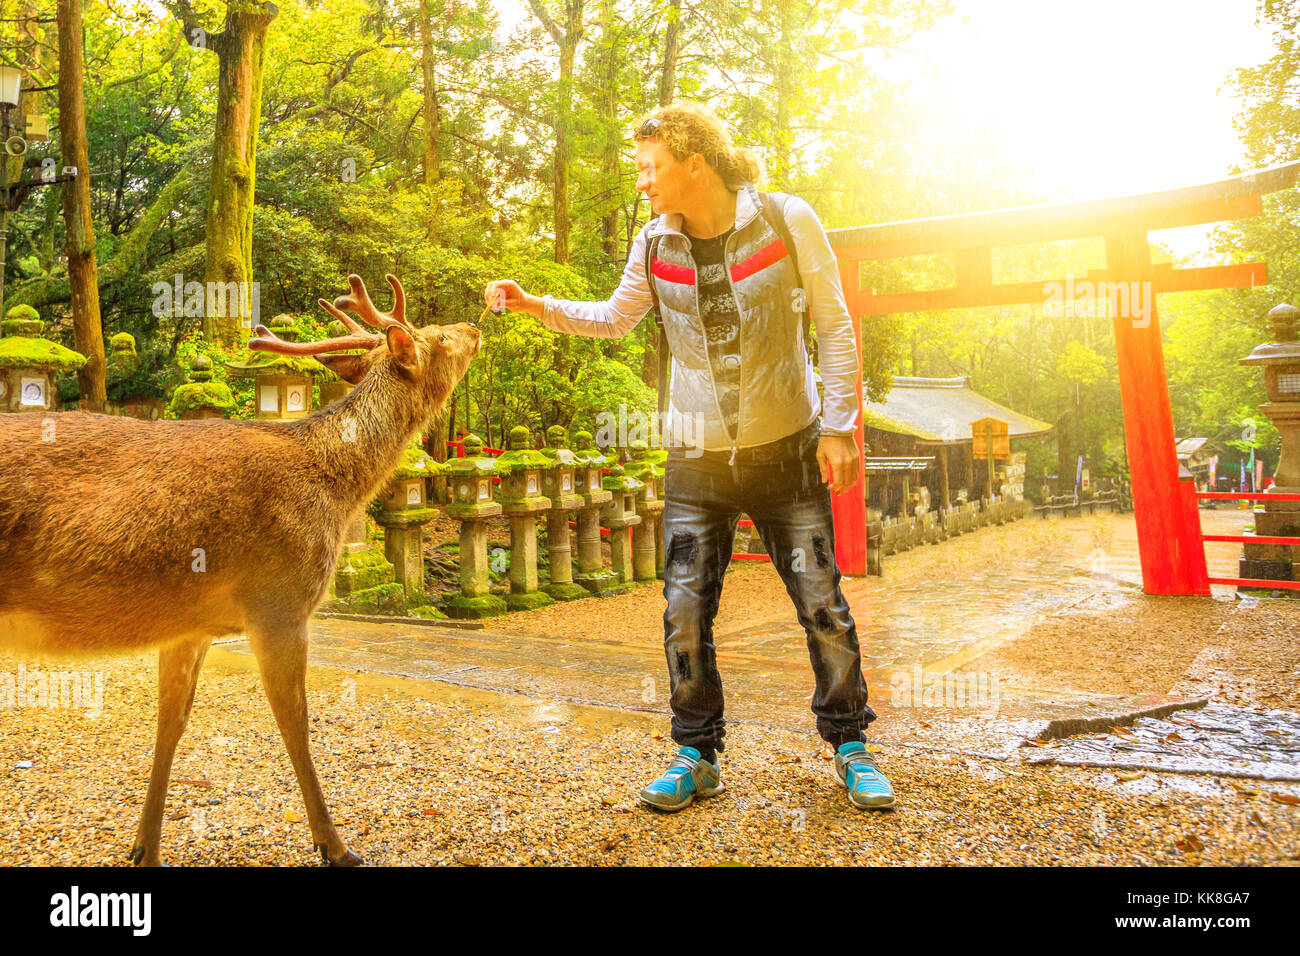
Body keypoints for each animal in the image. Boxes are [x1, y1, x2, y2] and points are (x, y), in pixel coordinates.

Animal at [0, 274, 480, 866]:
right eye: (439, 338)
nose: (475, 325)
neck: (333, 487)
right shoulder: (280, 602)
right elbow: (295, 725)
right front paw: (336, 845)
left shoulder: (189, 624)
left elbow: (171, 726)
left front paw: (144, 847)